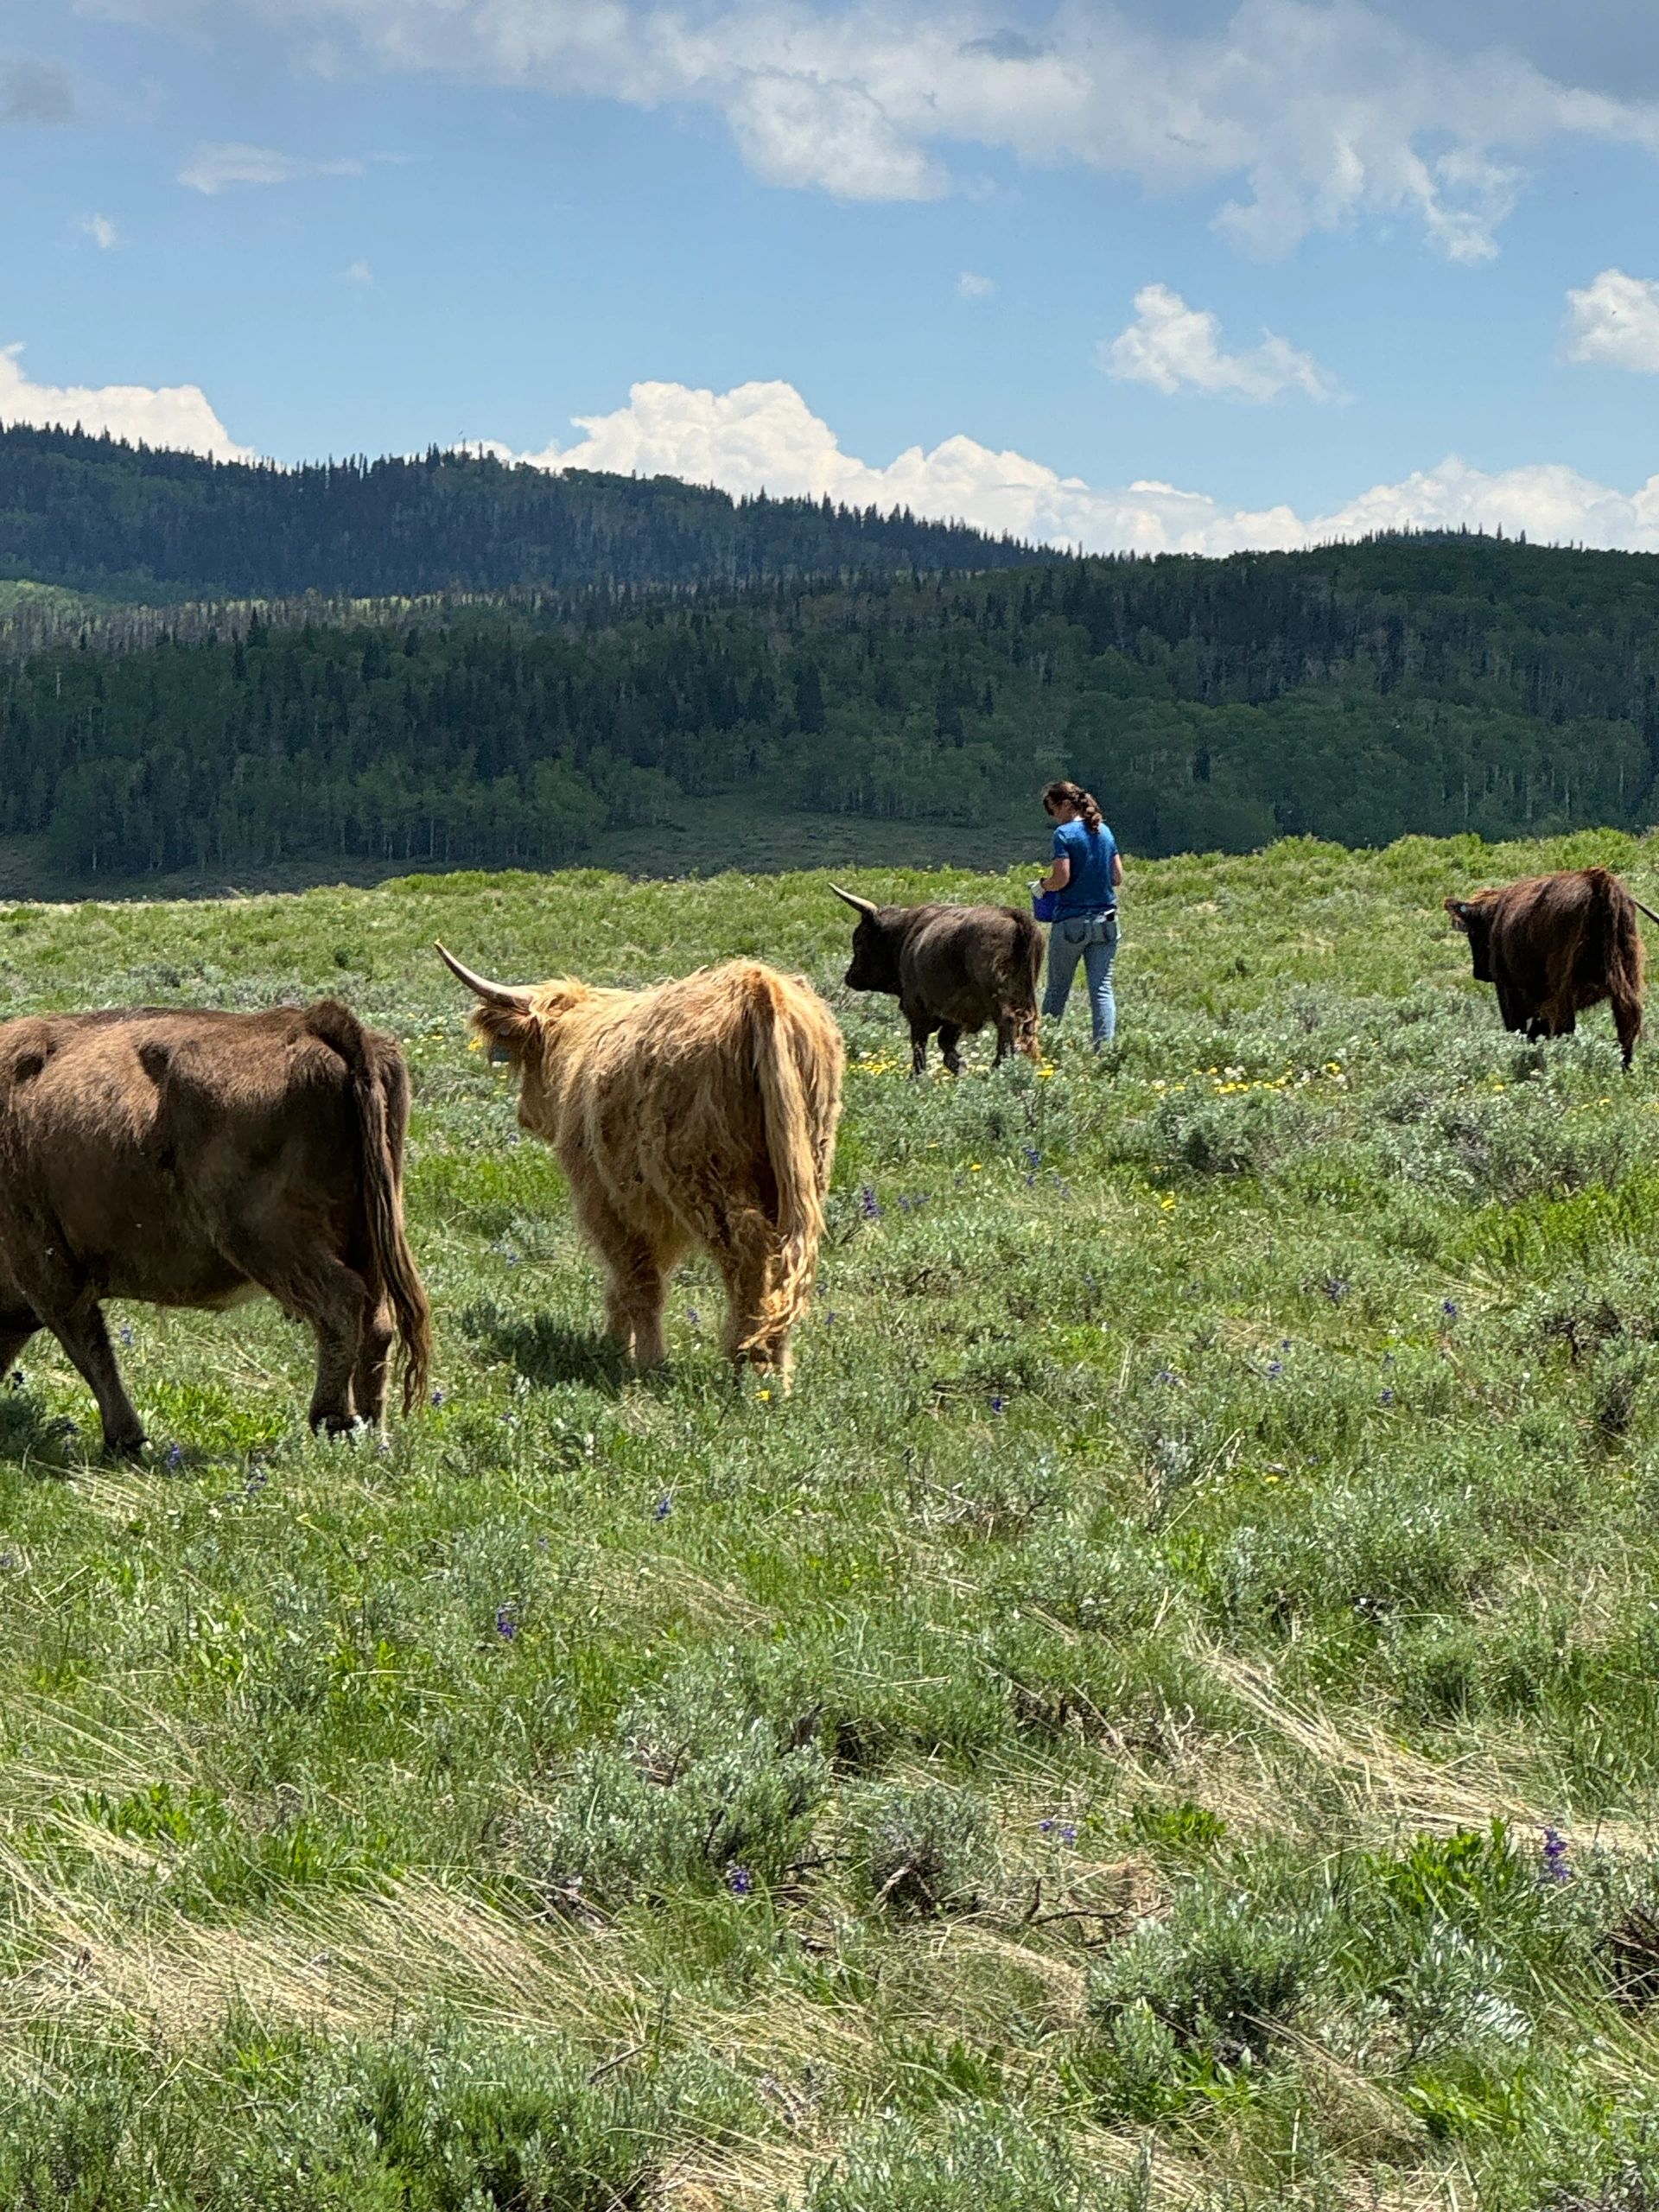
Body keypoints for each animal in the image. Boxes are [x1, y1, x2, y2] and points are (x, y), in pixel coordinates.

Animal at [0, 999, 431, 1457]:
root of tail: (312, 1021)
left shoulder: (49, 1274)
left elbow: (92, 1352)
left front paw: (125, 1439)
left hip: (268, 1242)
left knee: (341, 1305)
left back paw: (332, 1420)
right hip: (368, 1242)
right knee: (377, 1323)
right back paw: (371, 1429)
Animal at [436, 945, 843, 1385]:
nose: (524, 1115)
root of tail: (756, 985)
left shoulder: (603, 1198)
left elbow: (636, 1279)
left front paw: (643, 1359)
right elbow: (626, 1283)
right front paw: (613, 1346)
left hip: (703, 1176)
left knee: (749, 1251)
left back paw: (747, 1359)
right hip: (807, 1165)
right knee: (792, 1256)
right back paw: (779, 1366)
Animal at [831, 888, 1042, 1075]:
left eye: (859, 941)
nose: (850, 977)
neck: (906, 934)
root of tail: (1011, 914)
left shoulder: (917, 1009)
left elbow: (920, 1046)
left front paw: (916, 1078)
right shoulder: (955, 1014)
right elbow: (946, 1045)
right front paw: (961, 1067)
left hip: (999, 998)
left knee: (1008, 1023)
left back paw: (997, 1069)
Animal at [1445, 868, 1655, 1068]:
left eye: (1472, 933)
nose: (1479, 973)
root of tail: (1598, 881)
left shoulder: (1507, 989)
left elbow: (1519, 1028)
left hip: (1562, 988)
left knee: (1566, 1027)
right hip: (1626, 977)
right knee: (1626, 1024)